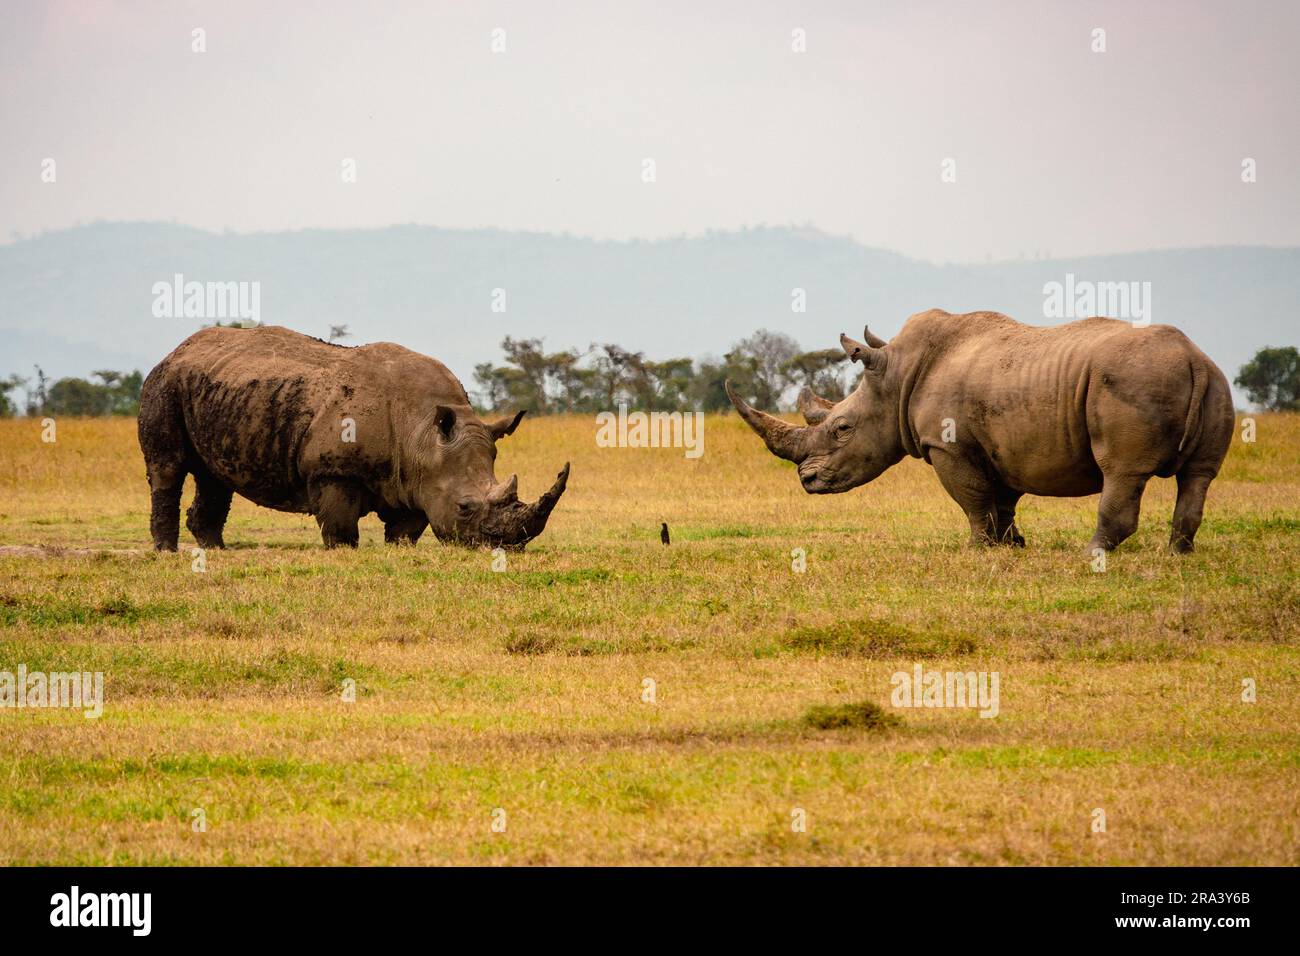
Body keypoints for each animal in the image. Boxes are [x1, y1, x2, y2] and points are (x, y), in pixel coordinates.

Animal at [138, 325, 569, 551]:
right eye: (465, 508)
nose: (507, 548)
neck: (422, 436)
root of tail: (177, 349)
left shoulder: (416, 479)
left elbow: (406, 531)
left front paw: (399, 549)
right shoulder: (332, 471)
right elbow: (341, 530)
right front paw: (342, 551)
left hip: (217, 389)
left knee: (214, 477)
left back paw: (215, 549)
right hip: (164, 383)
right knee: (167, 469)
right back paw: (168, 552)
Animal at [727, 310, 1235, 553]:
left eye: (841, 428)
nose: (807, 480)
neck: (897, 377)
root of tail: (1192, 358)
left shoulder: (947, 444)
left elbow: (972, 498)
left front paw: (978, 548)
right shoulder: (1001, 445)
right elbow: (1002, 500)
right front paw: (1013, 545)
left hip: (1134, 381)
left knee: (1122, 471)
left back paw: (1091, 554)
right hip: (1215, 382)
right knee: (1199, 477)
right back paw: (1178, 554)